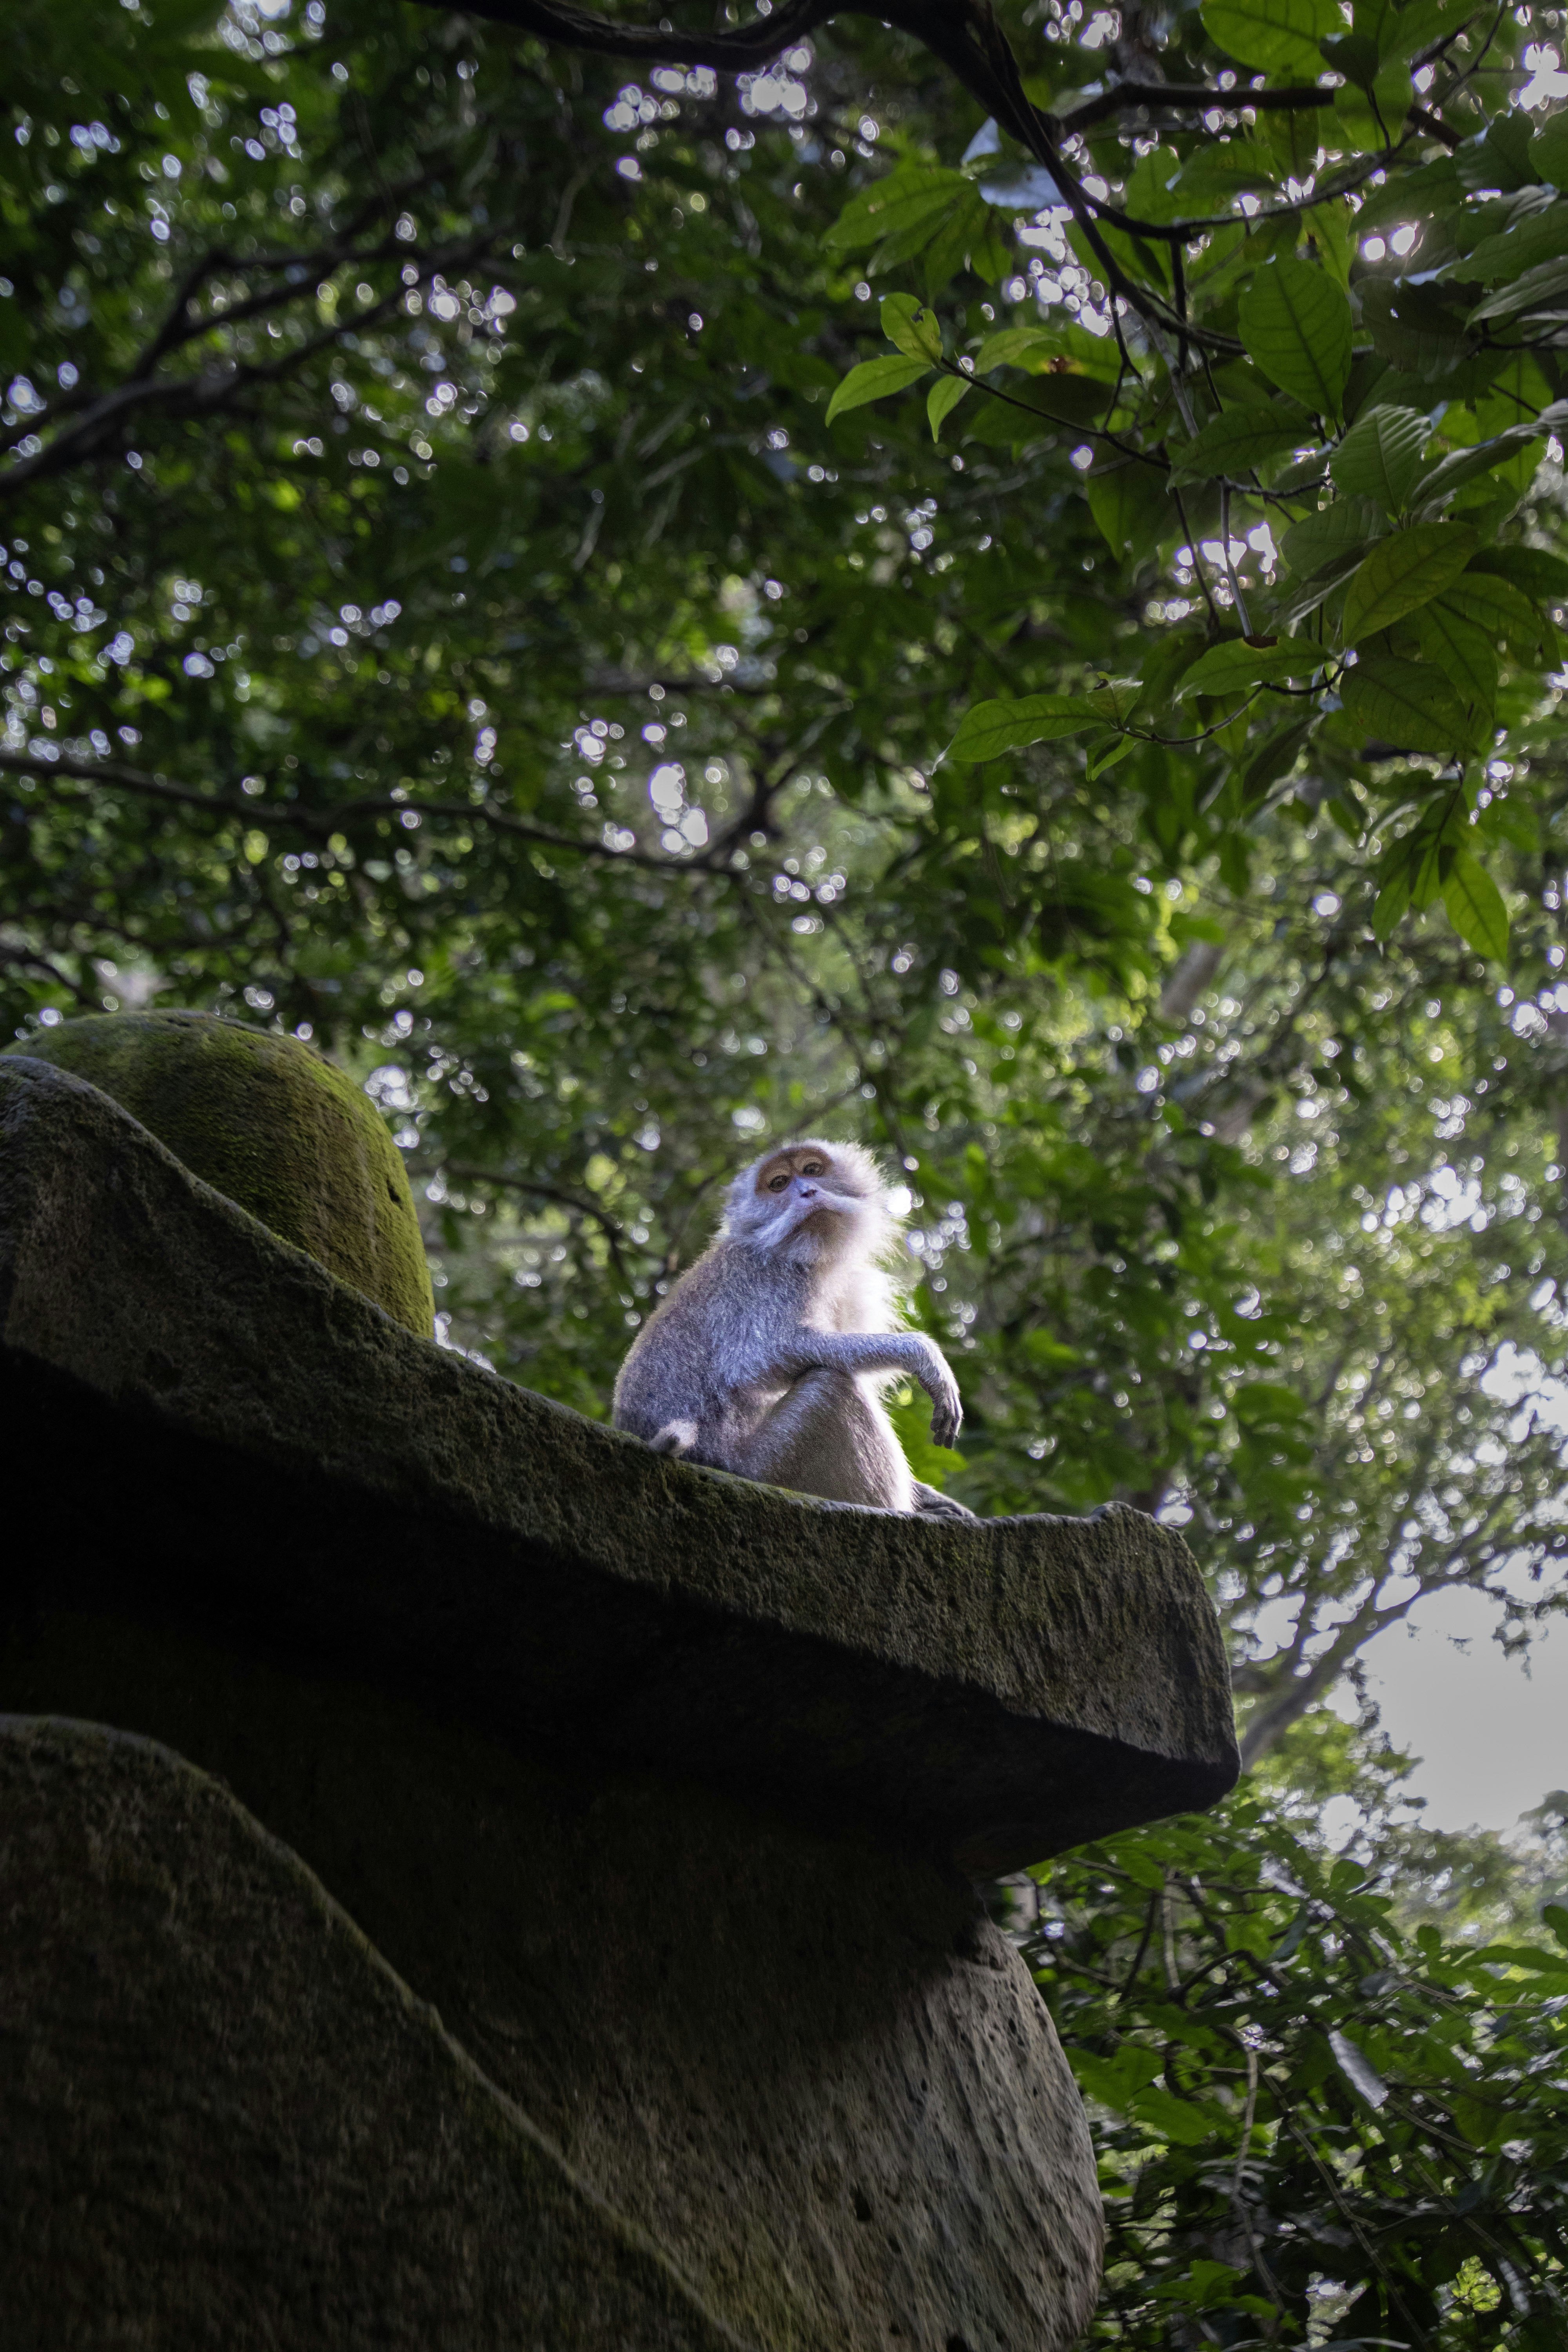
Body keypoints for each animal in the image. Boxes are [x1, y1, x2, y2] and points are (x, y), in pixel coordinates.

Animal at [612, 1139, 975, 1518]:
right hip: (769, 1466)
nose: (808, 1192)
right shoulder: (765, 1276)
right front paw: (921, 1354)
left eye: (812, 1170)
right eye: (779, 1184)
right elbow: (758, 1358)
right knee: (830, 1386)